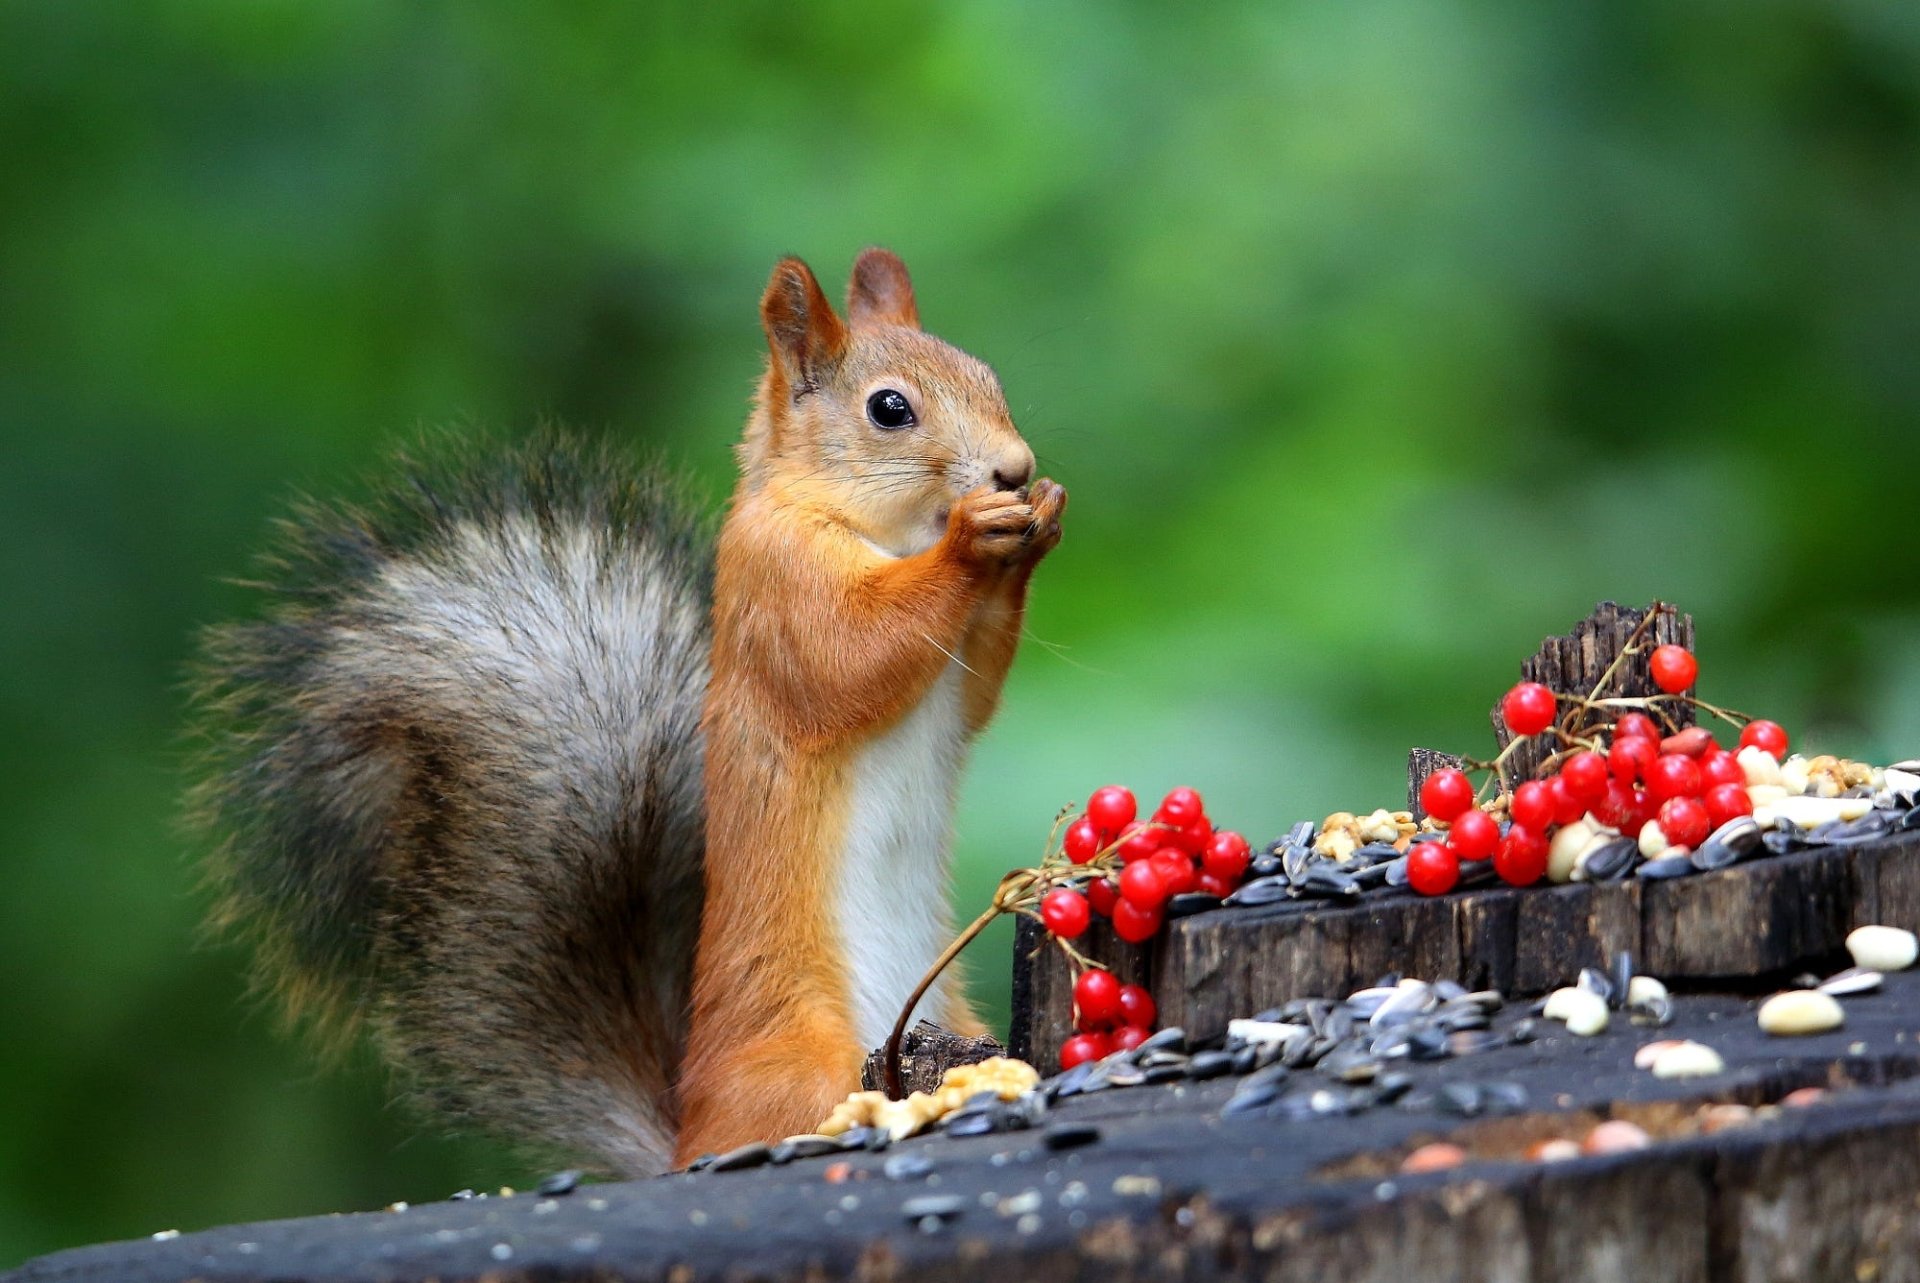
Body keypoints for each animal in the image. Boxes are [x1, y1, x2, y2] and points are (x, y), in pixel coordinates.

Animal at [188, 248, 1066, 1176]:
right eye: (889, 409)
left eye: (988, 377)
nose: (1014, 466)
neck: (885, 534)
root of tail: (686, 1140)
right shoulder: (777, 589)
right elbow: (850, 657)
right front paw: (973, 538)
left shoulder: (949, 671)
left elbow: (973, 692)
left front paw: (1037, 520)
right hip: (803, 1063)